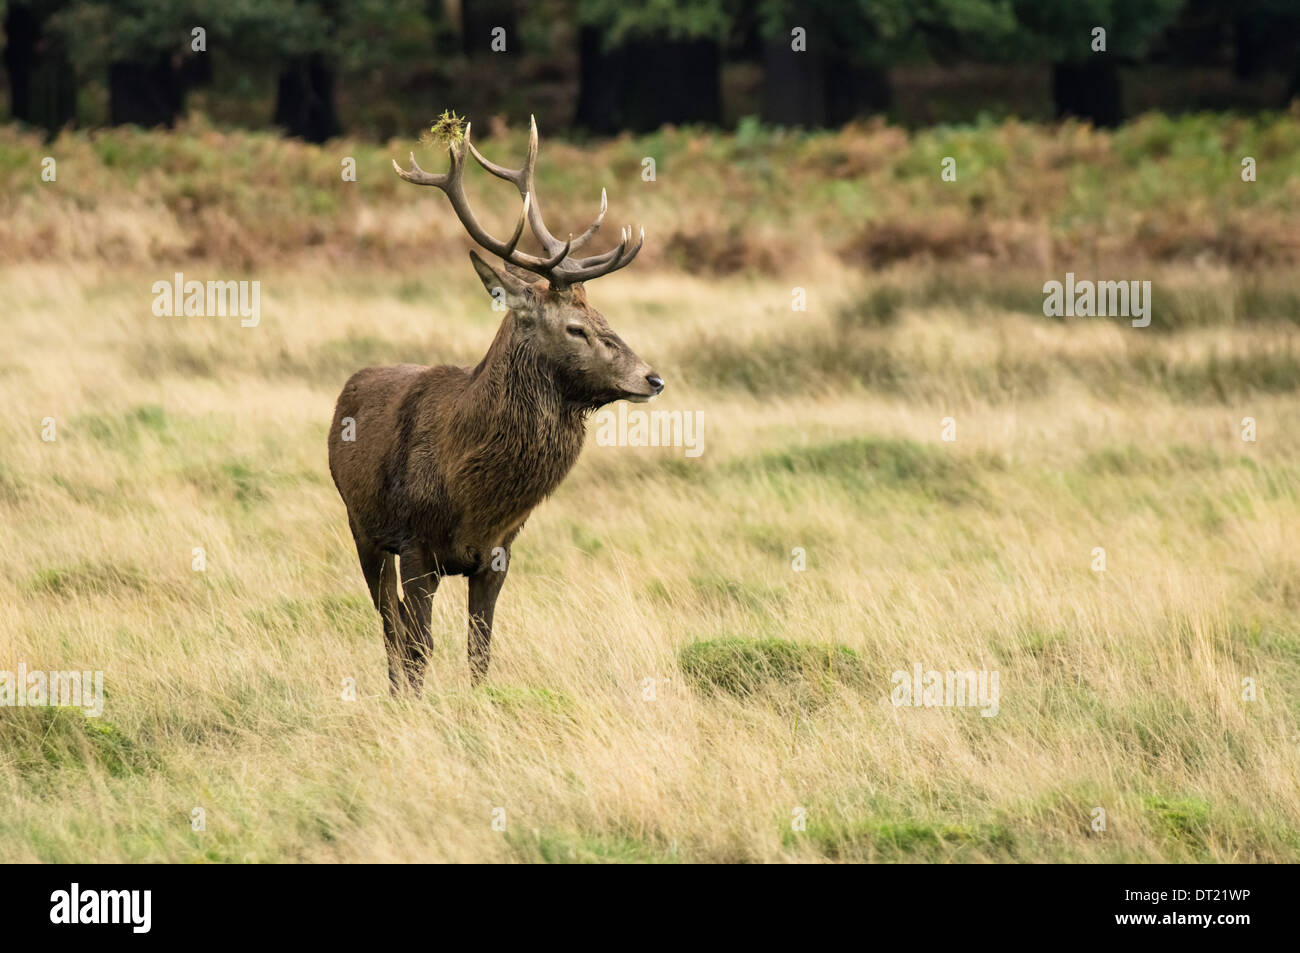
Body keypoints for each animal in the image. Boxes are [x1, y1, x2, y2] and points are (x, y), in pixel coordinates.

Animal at [328, 116, 663, 694]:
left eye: (603, 317)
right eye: (576, 329)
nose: (652, 378)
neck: (474, 501)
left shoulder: (499, 554)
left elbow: (480, 650)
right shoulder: (415, 544)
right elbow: (420, 645)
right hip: (360, 523)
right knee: (389, 624)